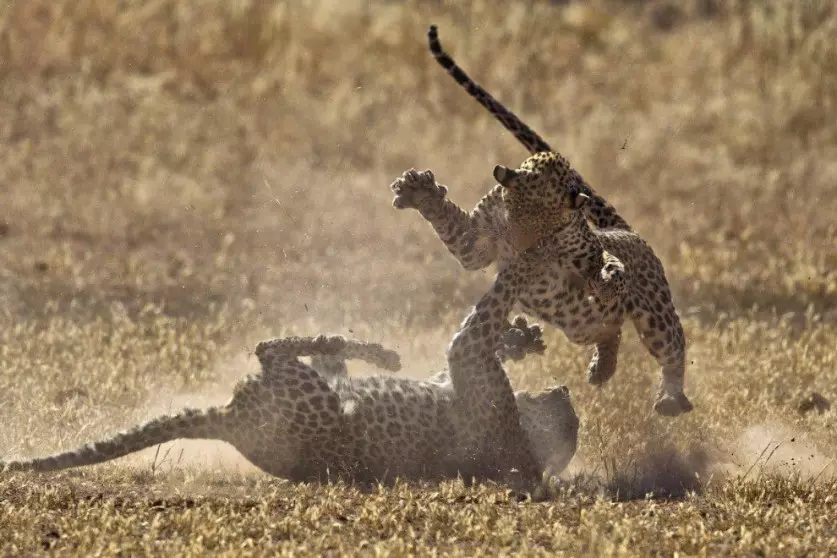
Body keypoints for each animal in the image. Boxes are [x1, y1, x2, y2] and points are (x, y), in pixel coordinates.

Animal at [1, 306, 576, 486]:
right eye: (566, 413)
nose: (565, 391)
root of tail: (229, 419)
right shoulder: (451, 376)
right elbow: (474, 344)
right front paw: (523, 338)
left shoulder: (469, 374)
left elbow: (471, 339)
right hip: (314, 383)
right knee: (309, 356)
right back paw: (368, 350)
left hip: (308, 393)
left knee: (270, 348)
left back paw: (365, 349)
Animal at [392, 25, 692, 420]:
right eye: (515, 215)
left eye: (550, 225)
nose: (524, 252)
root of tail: (626, 231)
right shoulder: (477, 245)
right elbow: (459, 234)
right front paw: (418, 191)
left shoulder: (587, 252)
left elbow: (604, 266)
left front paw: (604, 282)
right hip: (580, 328)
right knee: (610, 331)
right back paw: (602, 368)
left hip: (656, 314)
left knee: (672, 348)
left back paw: (671, 398)